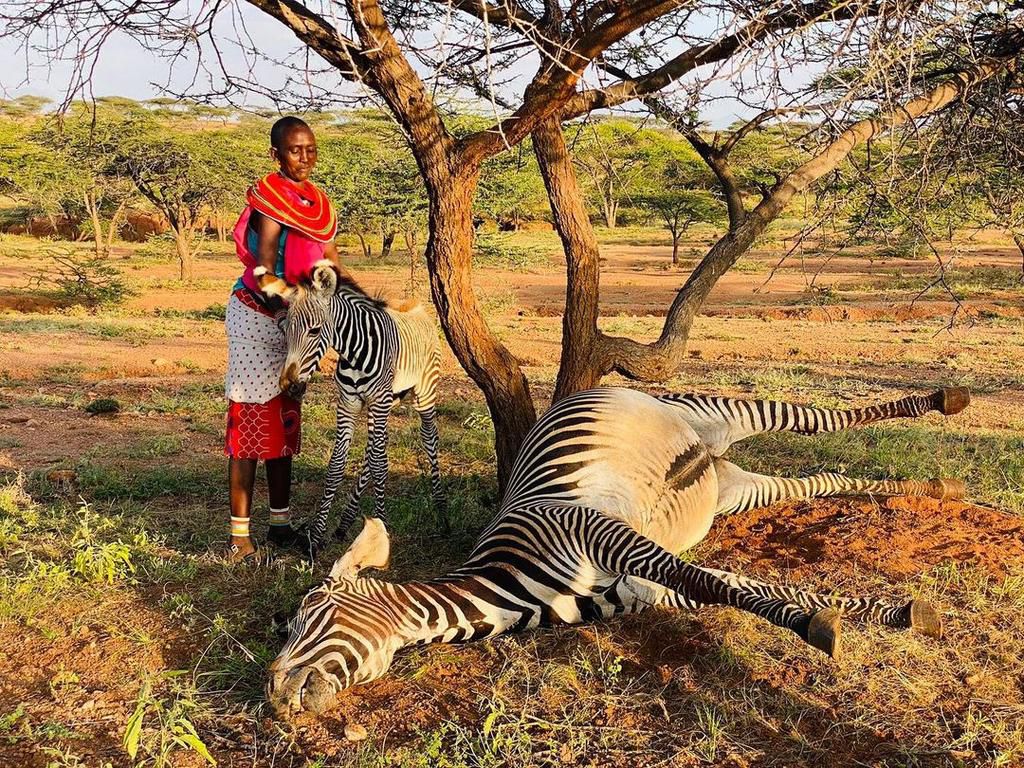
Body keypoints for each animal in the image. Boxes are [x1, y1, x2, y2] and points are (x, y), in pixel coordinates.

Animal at [267, 385, 968, 715]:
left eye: (309, 618)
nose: (274, 695)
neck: (513, 582)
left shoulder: (592, 528)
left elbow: (714, 580)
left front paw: (822, 623)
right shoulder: (640, 593)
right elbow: (722, 582)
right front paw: (884, 612)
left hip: (717, 410)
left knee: (814, 418)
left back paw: (942, 400)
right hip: (731, 489)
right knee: (819, 481)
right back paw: (931, 488)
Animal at [279, 261, 447, 554]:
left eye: (314, 331)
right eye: (285, 330)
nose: (289, 387)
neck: (354, 354)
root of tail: (416, 305)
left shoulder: (378, 401)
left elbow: (380, 465)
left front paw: (382, 530)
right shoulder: (348, 402)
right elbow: (338, 464)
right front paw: (316, 536)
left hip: (423, 393)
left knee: (428, 438)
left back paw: (441, 514)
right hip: (386, 401)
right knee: (374, 447)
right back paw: (345, 522)